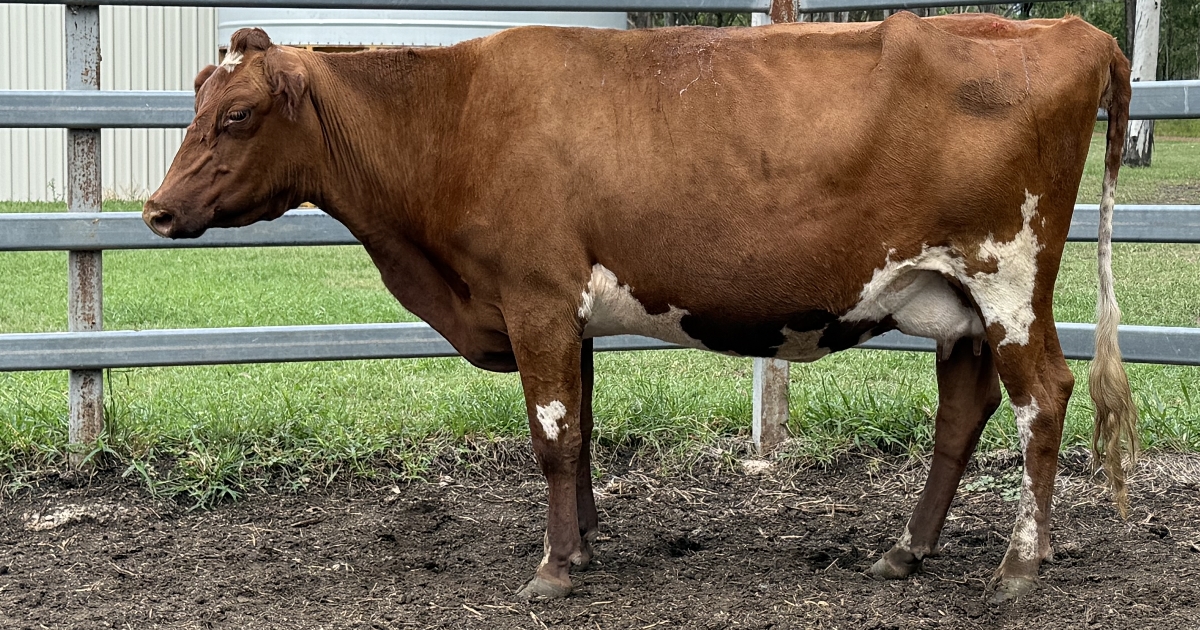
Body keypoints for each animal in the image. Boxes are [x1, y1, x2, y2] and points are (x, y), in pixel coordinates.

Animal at [144, 12, 1138, 602]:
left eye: (236, 116)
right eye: (199, 102)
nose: (155, 210)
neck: (454, 120)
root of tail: (1066, 29)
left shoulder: (536, 298)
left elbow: (552, 437)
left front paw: (552, 571)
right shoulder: (561, 315)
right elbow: (580, 430)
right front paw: (584, 543)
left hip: (1008, 279)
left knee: (1043, 400)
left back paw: (1019, 566)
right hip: (955, 301)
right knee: (963, 414)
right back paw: (907, 550)